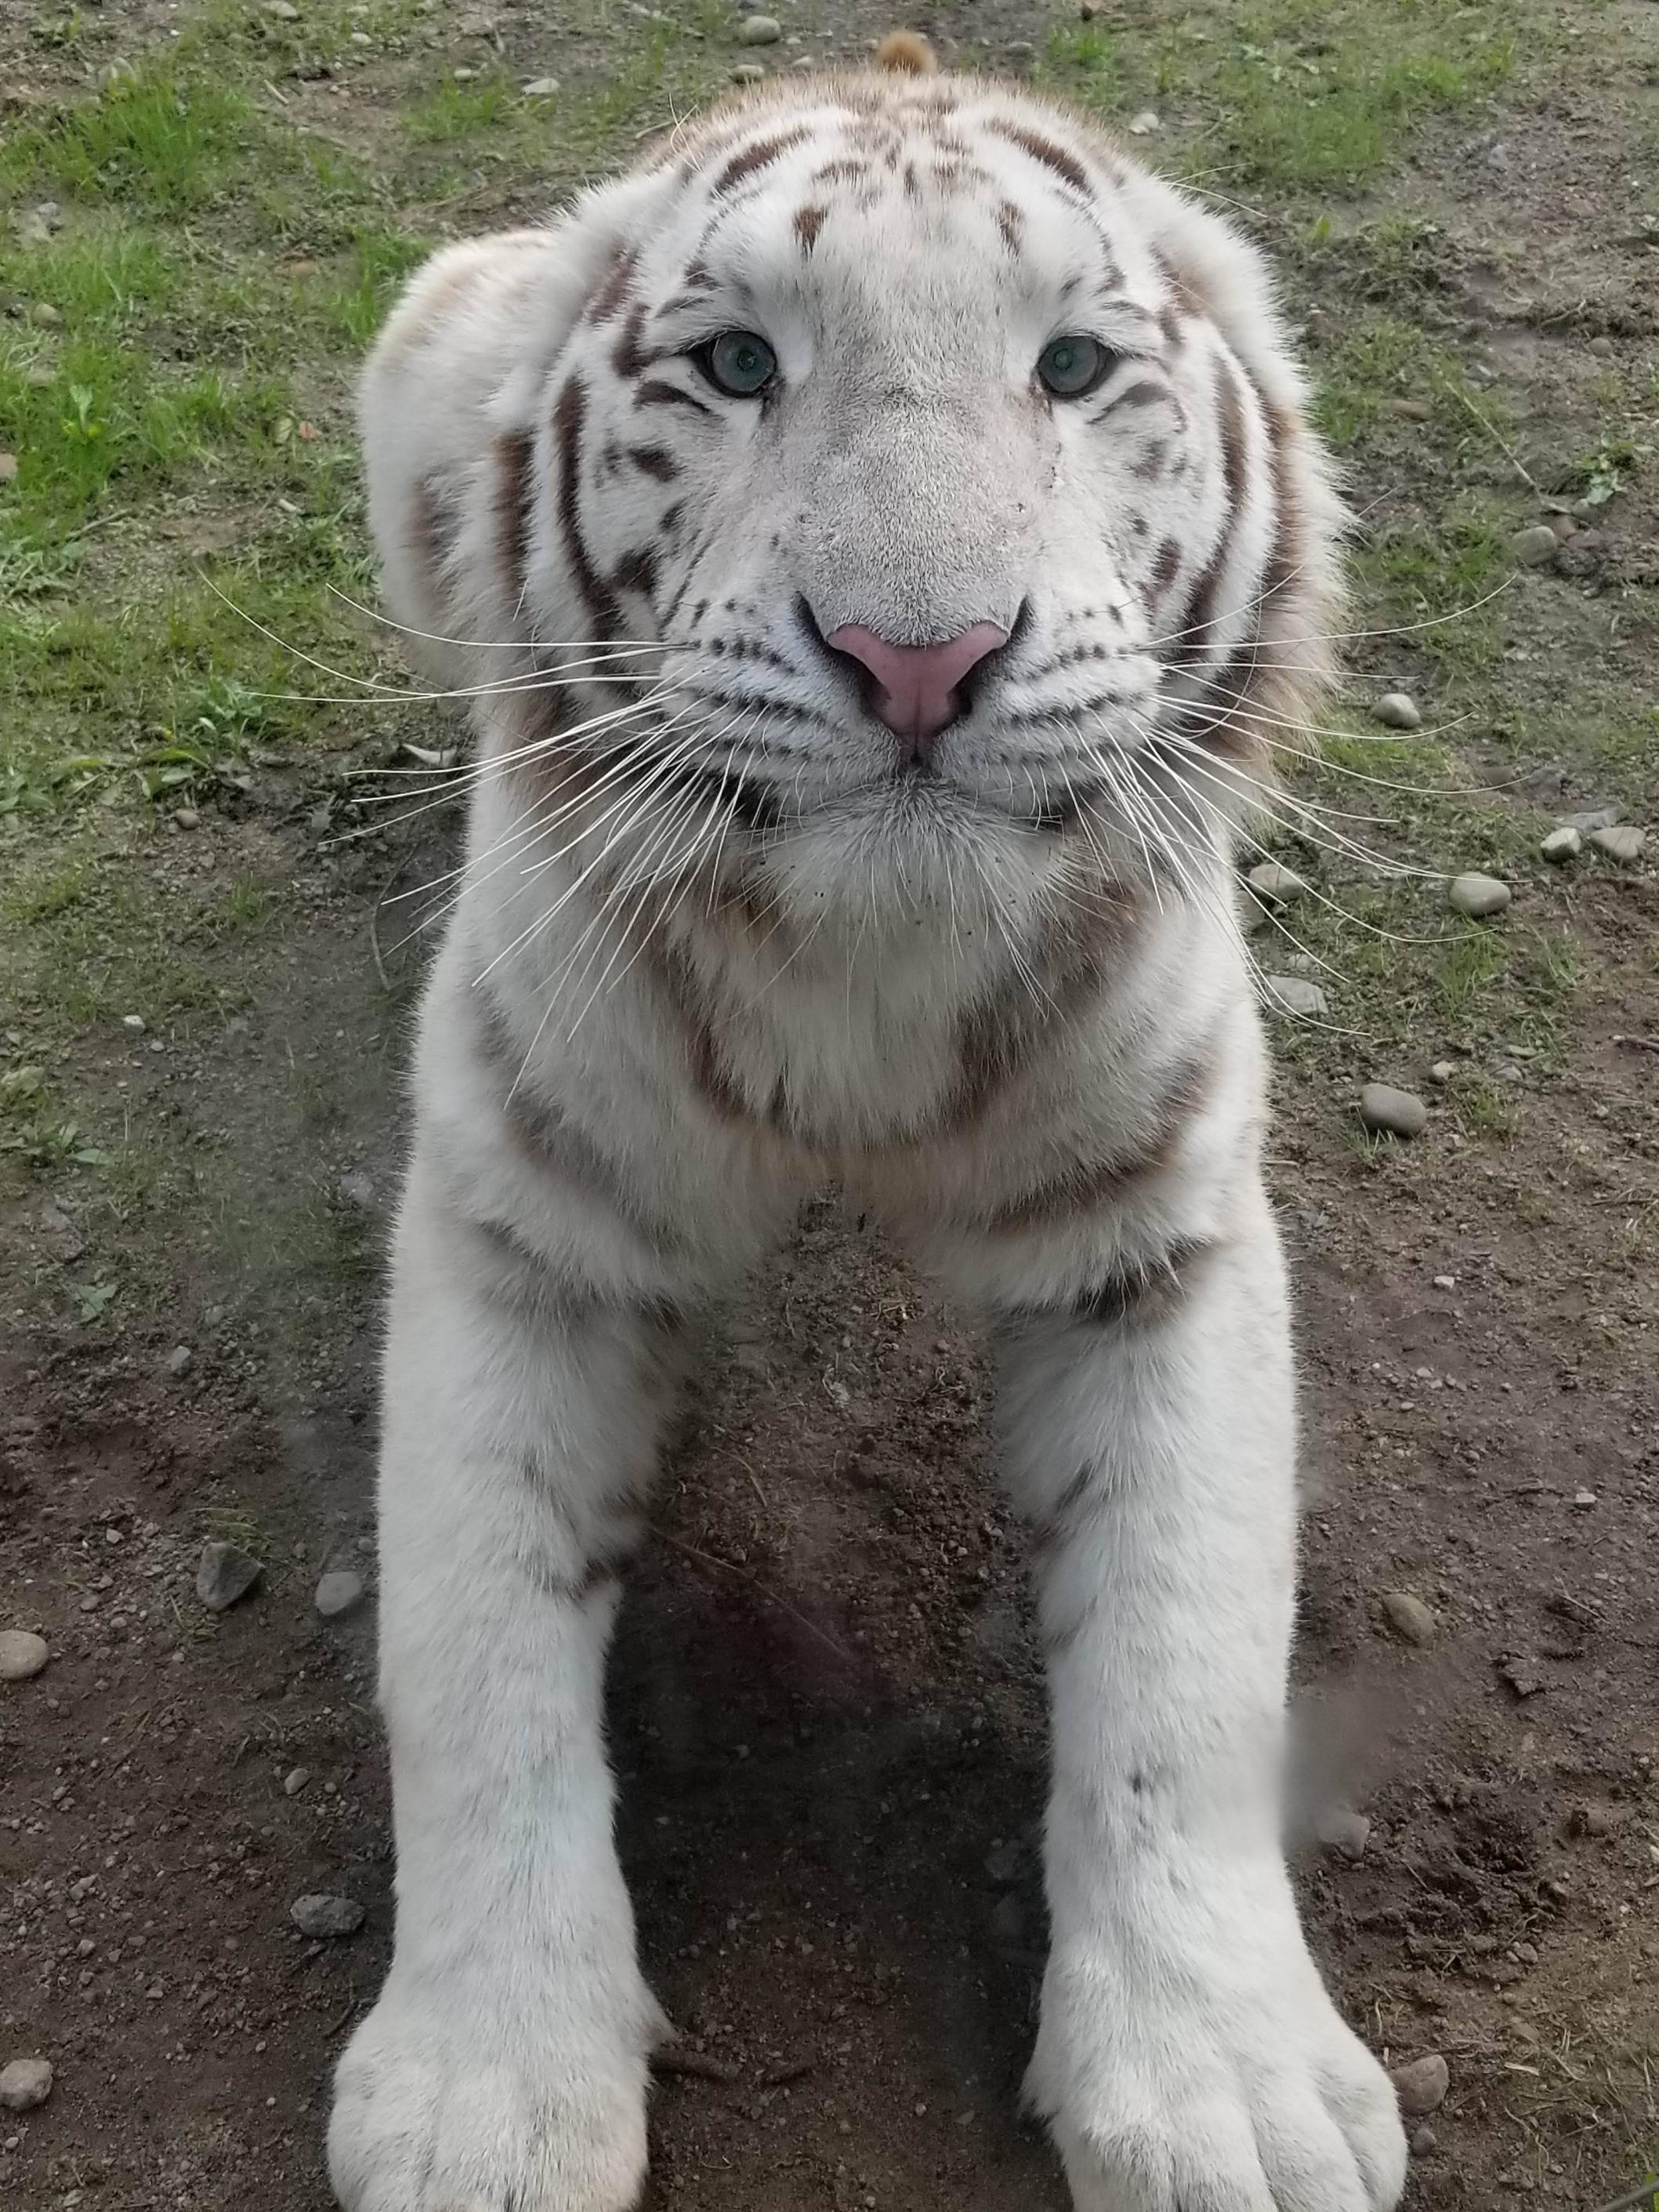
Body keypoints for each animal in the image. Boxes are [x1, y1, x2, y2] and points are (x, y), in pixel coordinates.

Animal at [329, 30, 1408, 2212]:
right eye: (738, 364)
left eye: (1069, 368)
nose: (921, 657)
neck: (863, 994)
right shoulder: (520, 1227)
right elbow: (467, 1657)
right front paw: (486, 2101)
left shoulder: (1157, 1240)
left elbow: (1184, 1658)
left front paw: (1227, 2091)